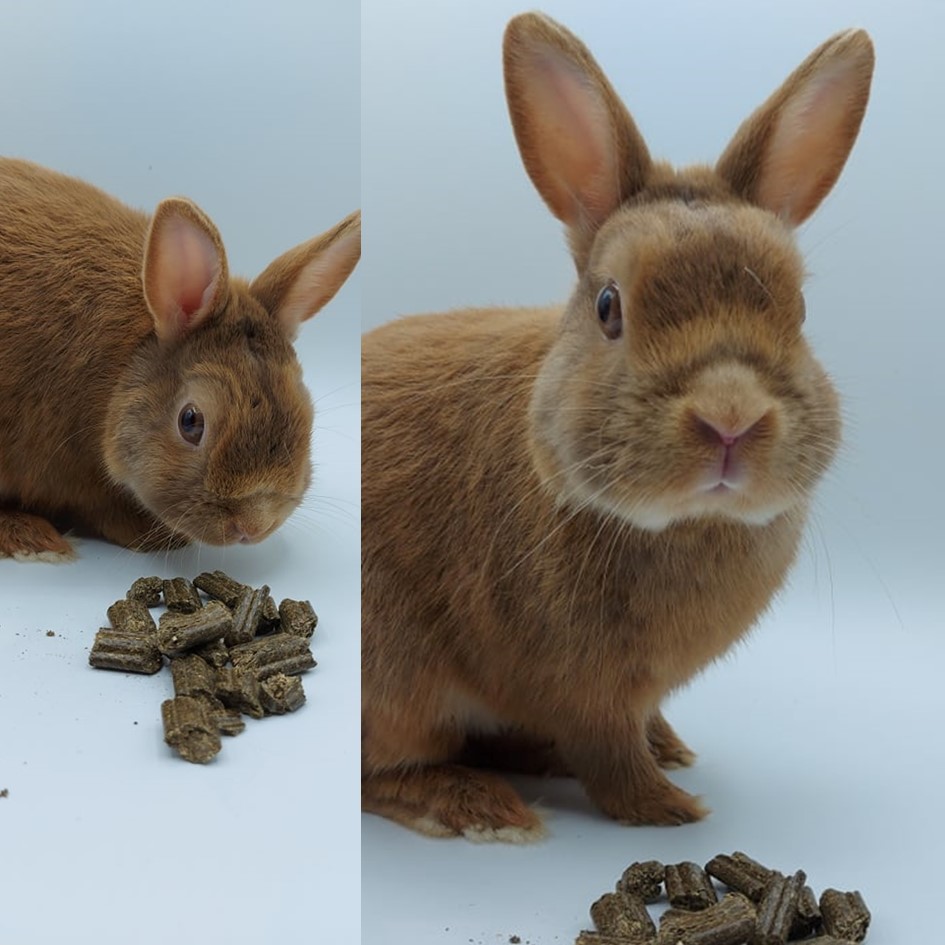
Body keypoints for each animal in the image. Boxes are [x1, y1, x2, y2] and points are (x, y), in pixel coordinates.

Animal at [361, 12, 873, 841]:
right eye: (609, 307)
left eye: (798, 309)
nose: (729, 418)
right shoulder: (585, 694)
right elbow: (608, 756)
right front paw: (666, 806)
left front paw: (670, 751)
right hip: (395, 680)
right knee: (385, 767)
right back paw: (481, 805)